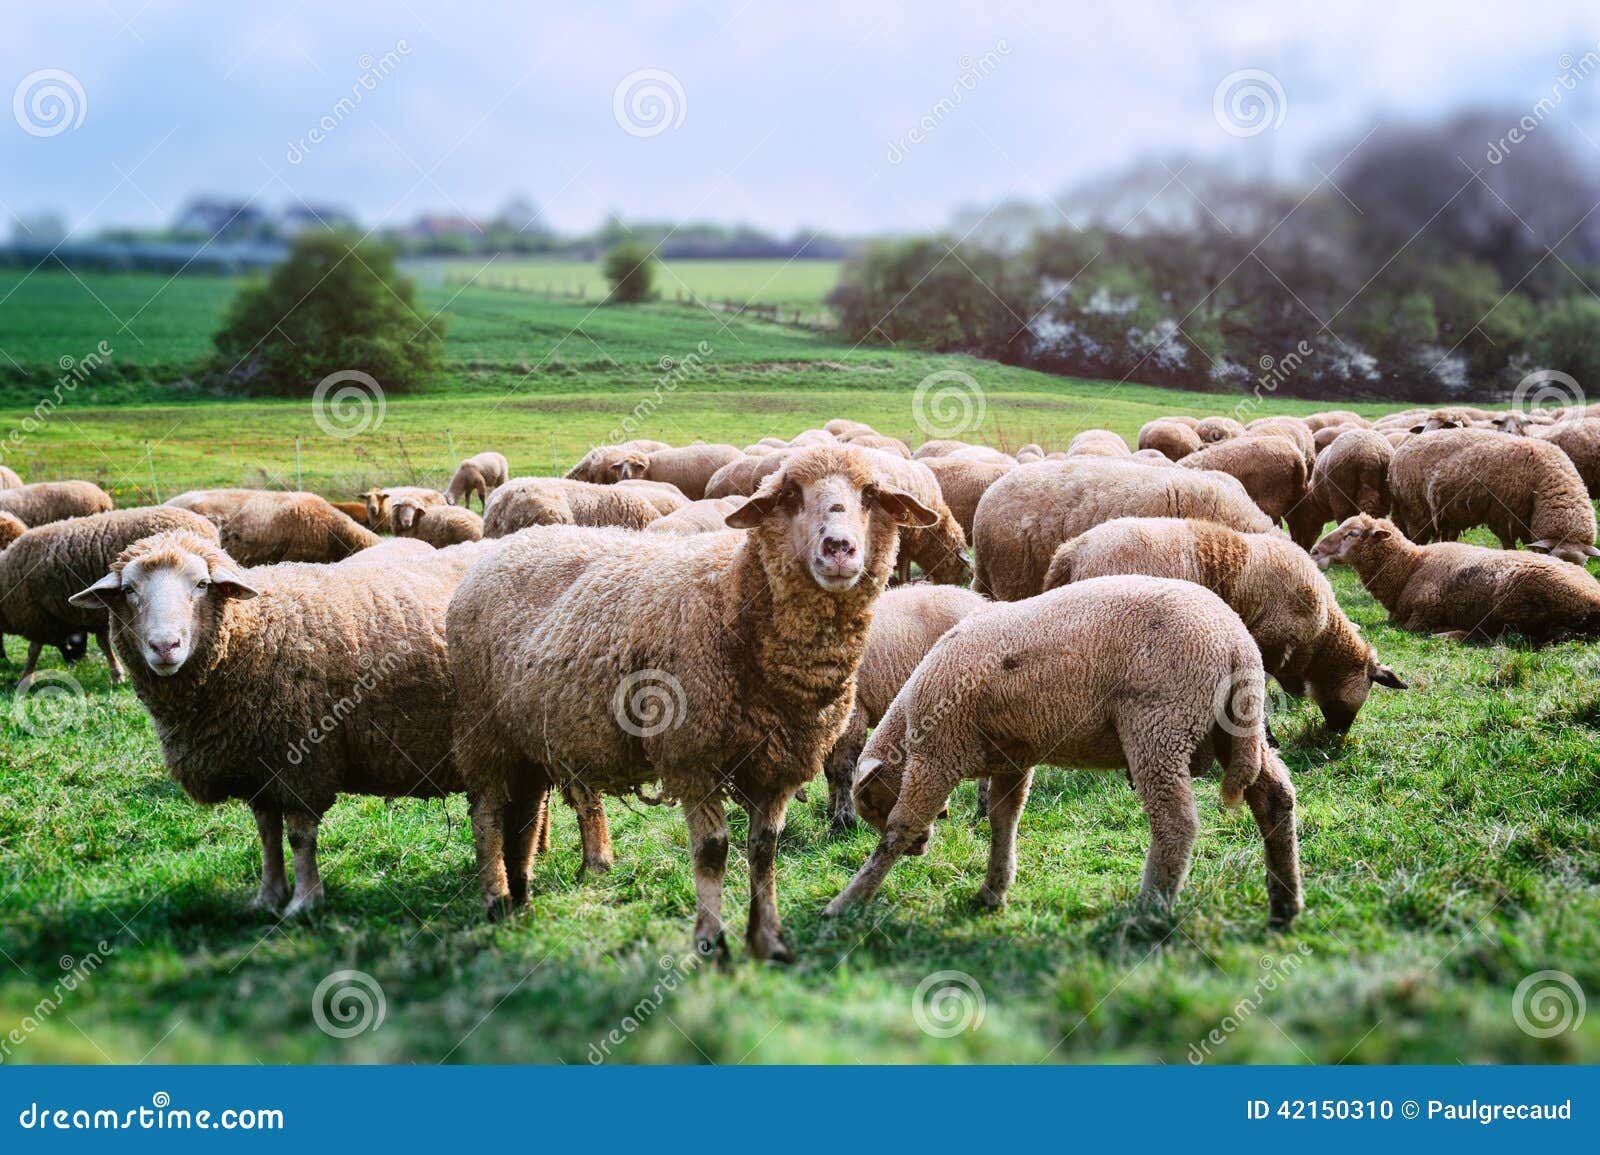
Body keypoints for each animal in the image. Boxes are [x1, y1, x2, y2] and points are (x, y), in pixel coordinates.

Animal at [1, 507, 219, 685]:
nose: (78, 660)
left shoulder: (36, 616)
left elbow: (33, 651)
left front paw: (24, 680)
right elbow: (103, 643)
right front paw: (117, 674)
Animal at [68, 532, 507, 915]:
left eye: (202, 584)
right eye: (129, 590)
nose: (164, 646)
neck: (253, 631)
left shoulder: (299, 761)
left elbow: (299, 837)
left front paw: (305, 902)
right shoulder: (256, 768)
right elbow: (267, 835)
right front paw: (268, 896)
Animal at [822, 584, 988, 832]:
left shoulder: (854, 711)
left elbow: (843, 768)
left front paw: (843, 821)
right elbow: (829, 769)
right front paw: (831, 810)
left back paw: (982, 810)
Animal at [1312, 514, 1600, 642]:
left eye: (1352, 534)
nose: (1314, 551)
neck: (1410, 567)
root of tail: (1593, 598)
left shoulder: (1423, 612)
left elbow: (1403, 627)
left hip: (1517, 597)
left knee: (1514, 633)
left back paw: (1452, 633)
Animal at [1388, 428, 1598, 564]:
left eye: (1583, 565)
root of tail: (1400, 451)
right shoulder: (1502, 516)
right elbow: (1509, 545)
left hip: (1444, 514)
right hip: (1416, 511)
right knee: (1416, 540)